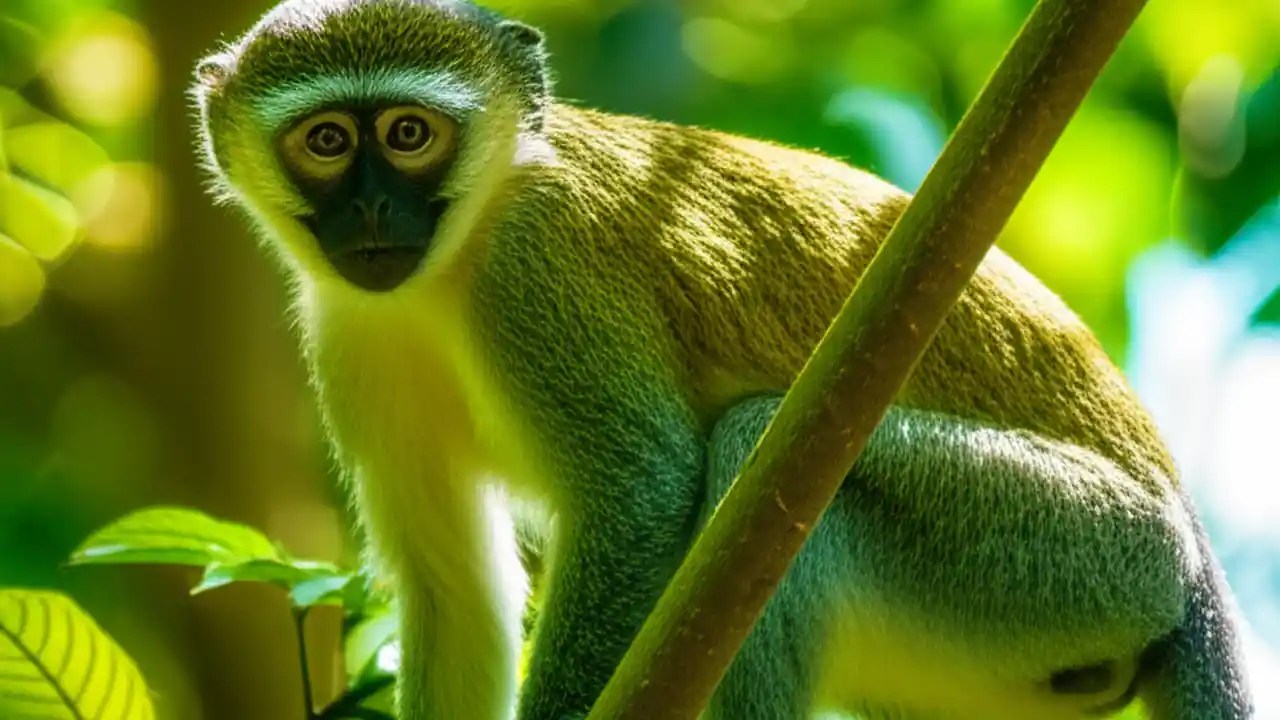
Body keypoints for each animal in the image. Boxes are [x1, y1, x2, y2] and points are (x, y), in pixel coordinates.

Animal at [190, 1, 1254, 718]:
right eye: (328, 141)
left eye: (410, 134)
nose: (372, 209)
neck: (460, 250)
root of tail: (1191, 556)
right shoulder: (346, 333)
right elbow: (457, 596)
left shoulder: (540, 261)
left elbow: (641, 493)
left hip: (1083, 558)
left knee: (765, 461)